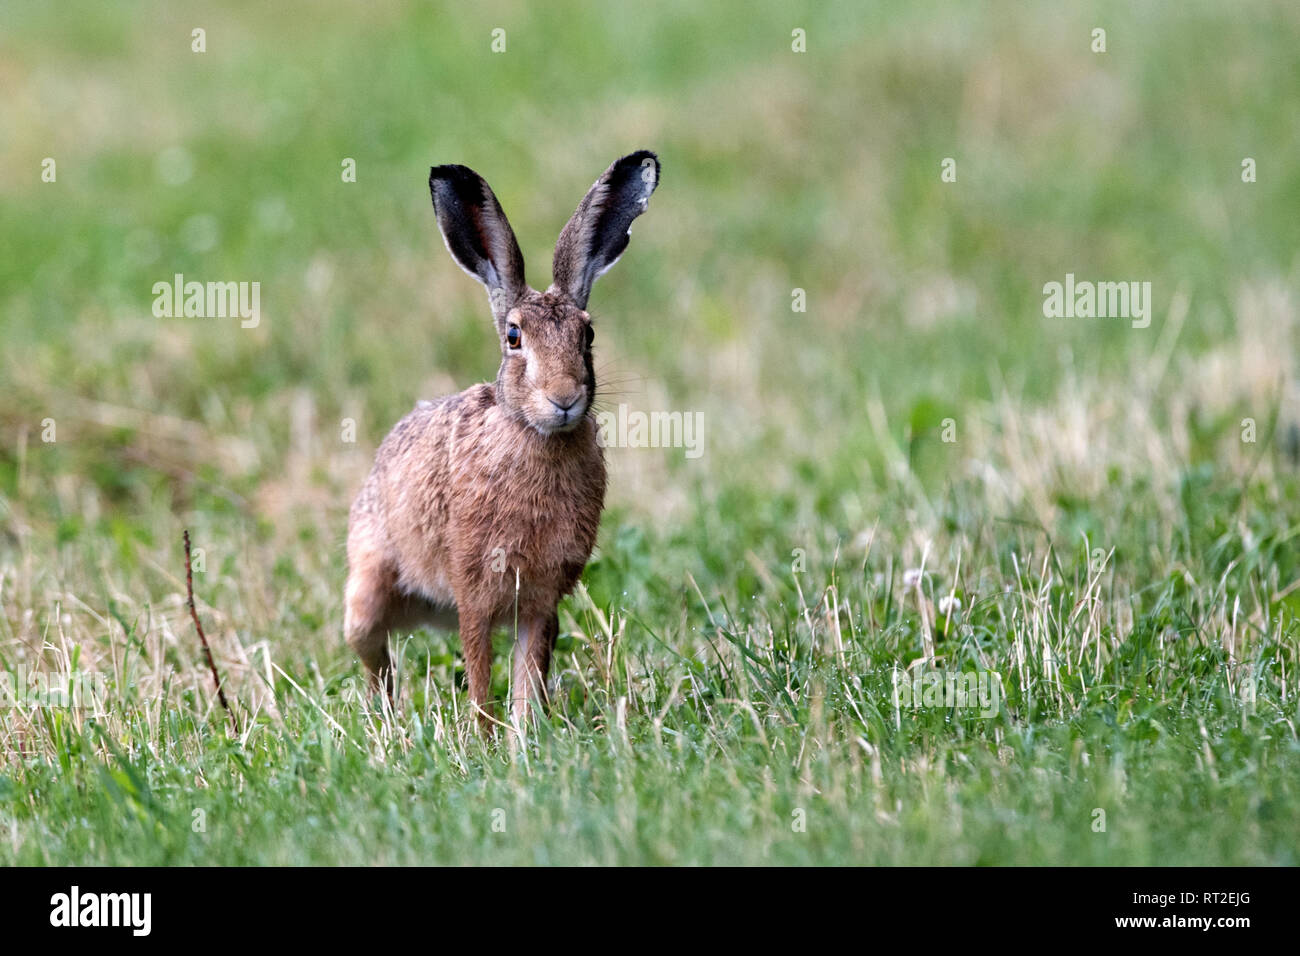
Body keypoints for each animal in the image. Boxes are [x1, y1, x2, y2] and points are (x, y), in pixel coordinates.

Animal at [344, 150, 661, 729]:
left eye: (587, 336)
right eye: (514, 338)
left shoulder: (539, 603)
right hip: (368, 593)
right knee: (376, 662)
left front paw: (523, 742)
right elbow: (480, 680)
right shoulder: (474, 592)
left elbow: (525, 682)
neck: (533, 435)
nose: (564, 397)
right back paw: (387, 727)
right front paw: (485, 740)